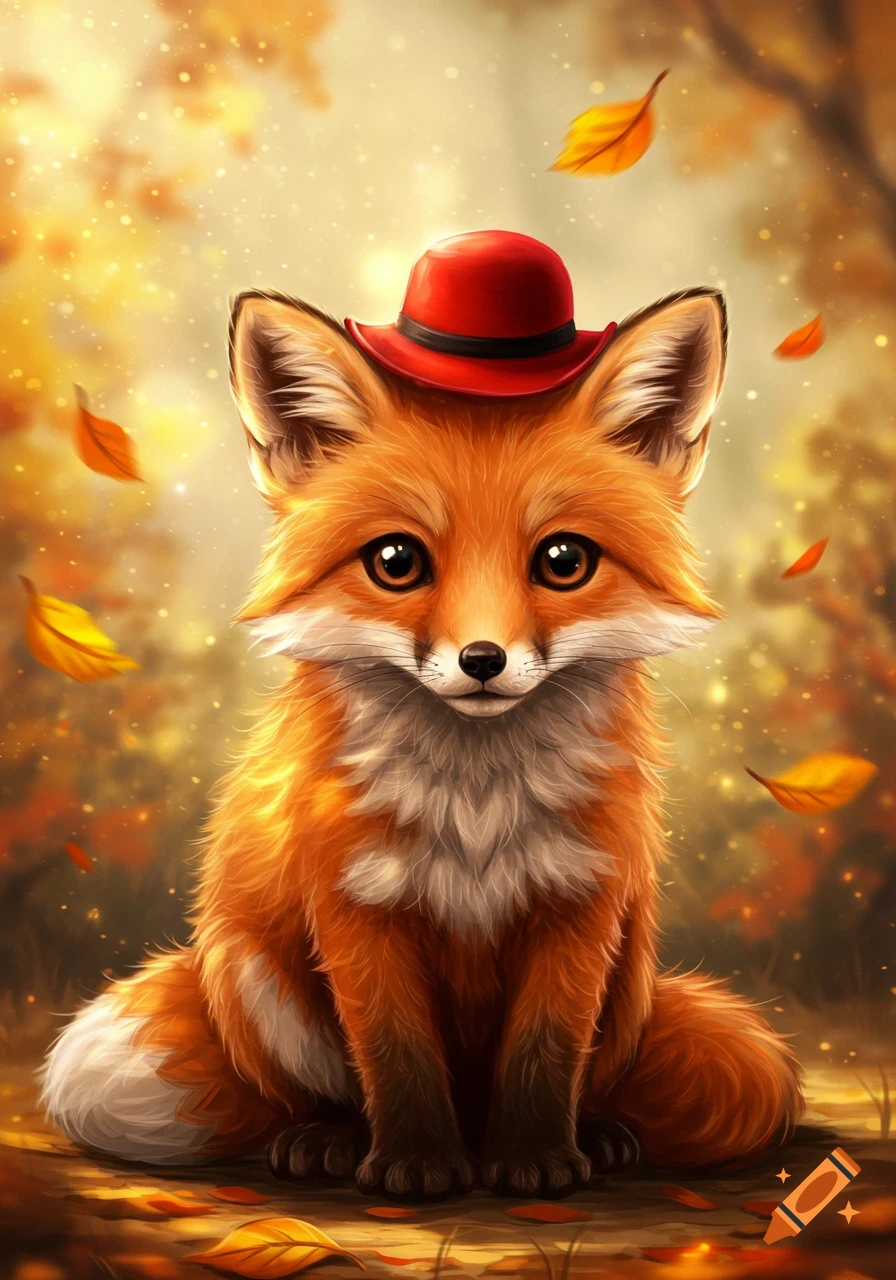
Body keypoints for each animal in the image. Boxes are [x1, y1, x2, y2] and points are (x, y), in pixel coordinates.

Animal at [39, 247, 803, 1200]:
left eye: (564, 560)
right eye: (397, 561)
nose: (483, 660)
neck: (475, 807)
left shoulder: (579, 906)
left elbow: (544, 1053)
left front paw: (536, 1159)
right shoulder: (358, 908)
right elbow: (395, 1054)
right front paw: (414, 1162)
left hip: (629, 977)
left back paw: (595, 1134)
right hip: (252, 973)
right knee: (309, 1092)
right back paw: (326, 1139)